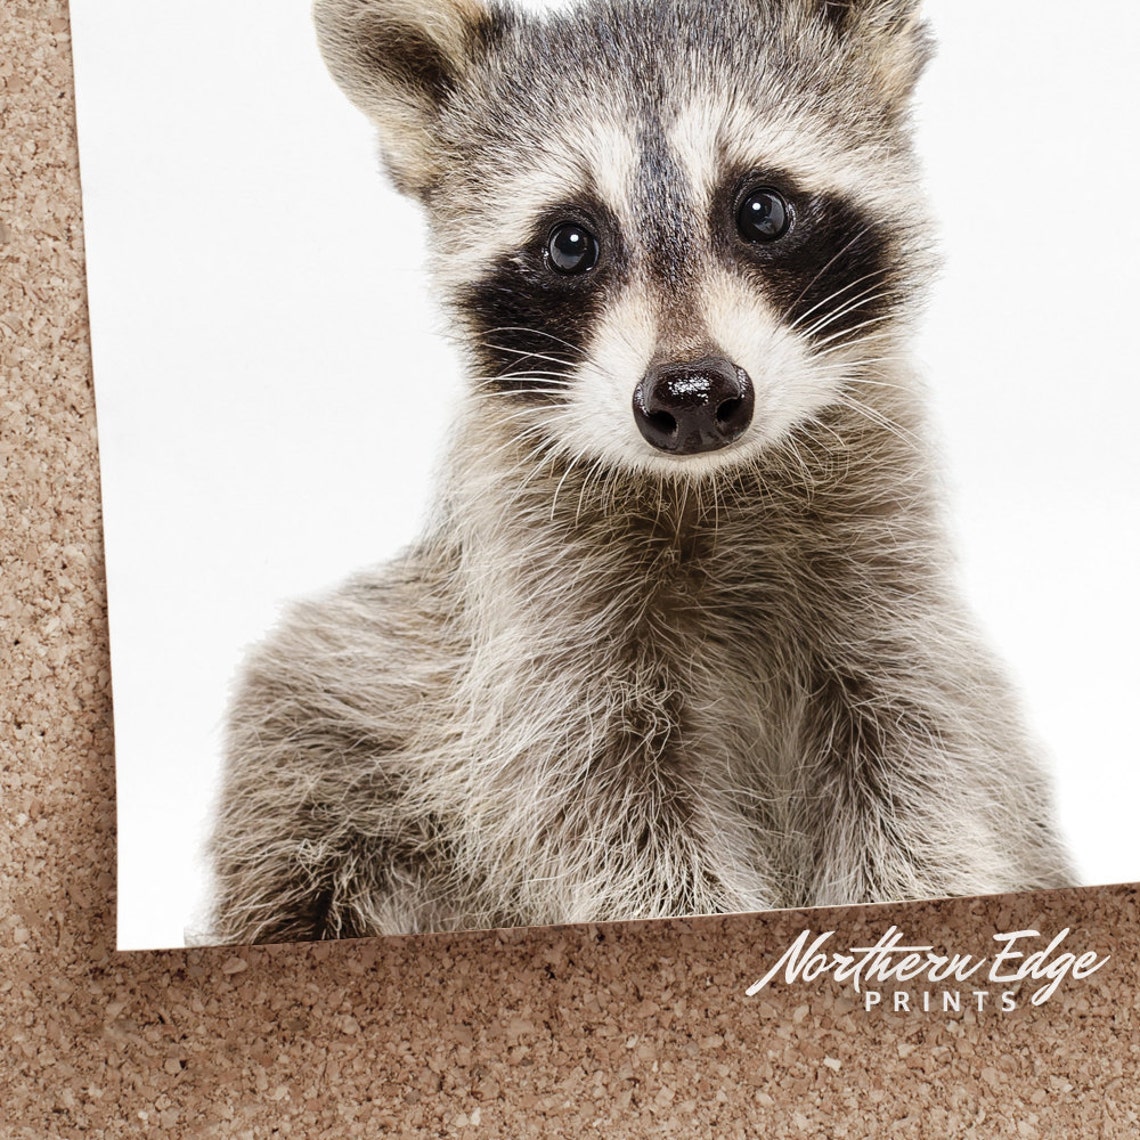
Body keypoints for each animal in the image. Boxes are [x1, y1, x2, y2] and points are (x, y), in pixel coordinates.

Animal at [209, 0, 1074, 943]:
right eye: (570, 243)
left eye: (761, 209)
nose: (693, 394)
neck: (711, 484)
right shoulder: (539, 628)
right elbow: (603, 811)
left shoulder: (887, 585)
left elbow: (927, 766)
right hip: (313, 752)